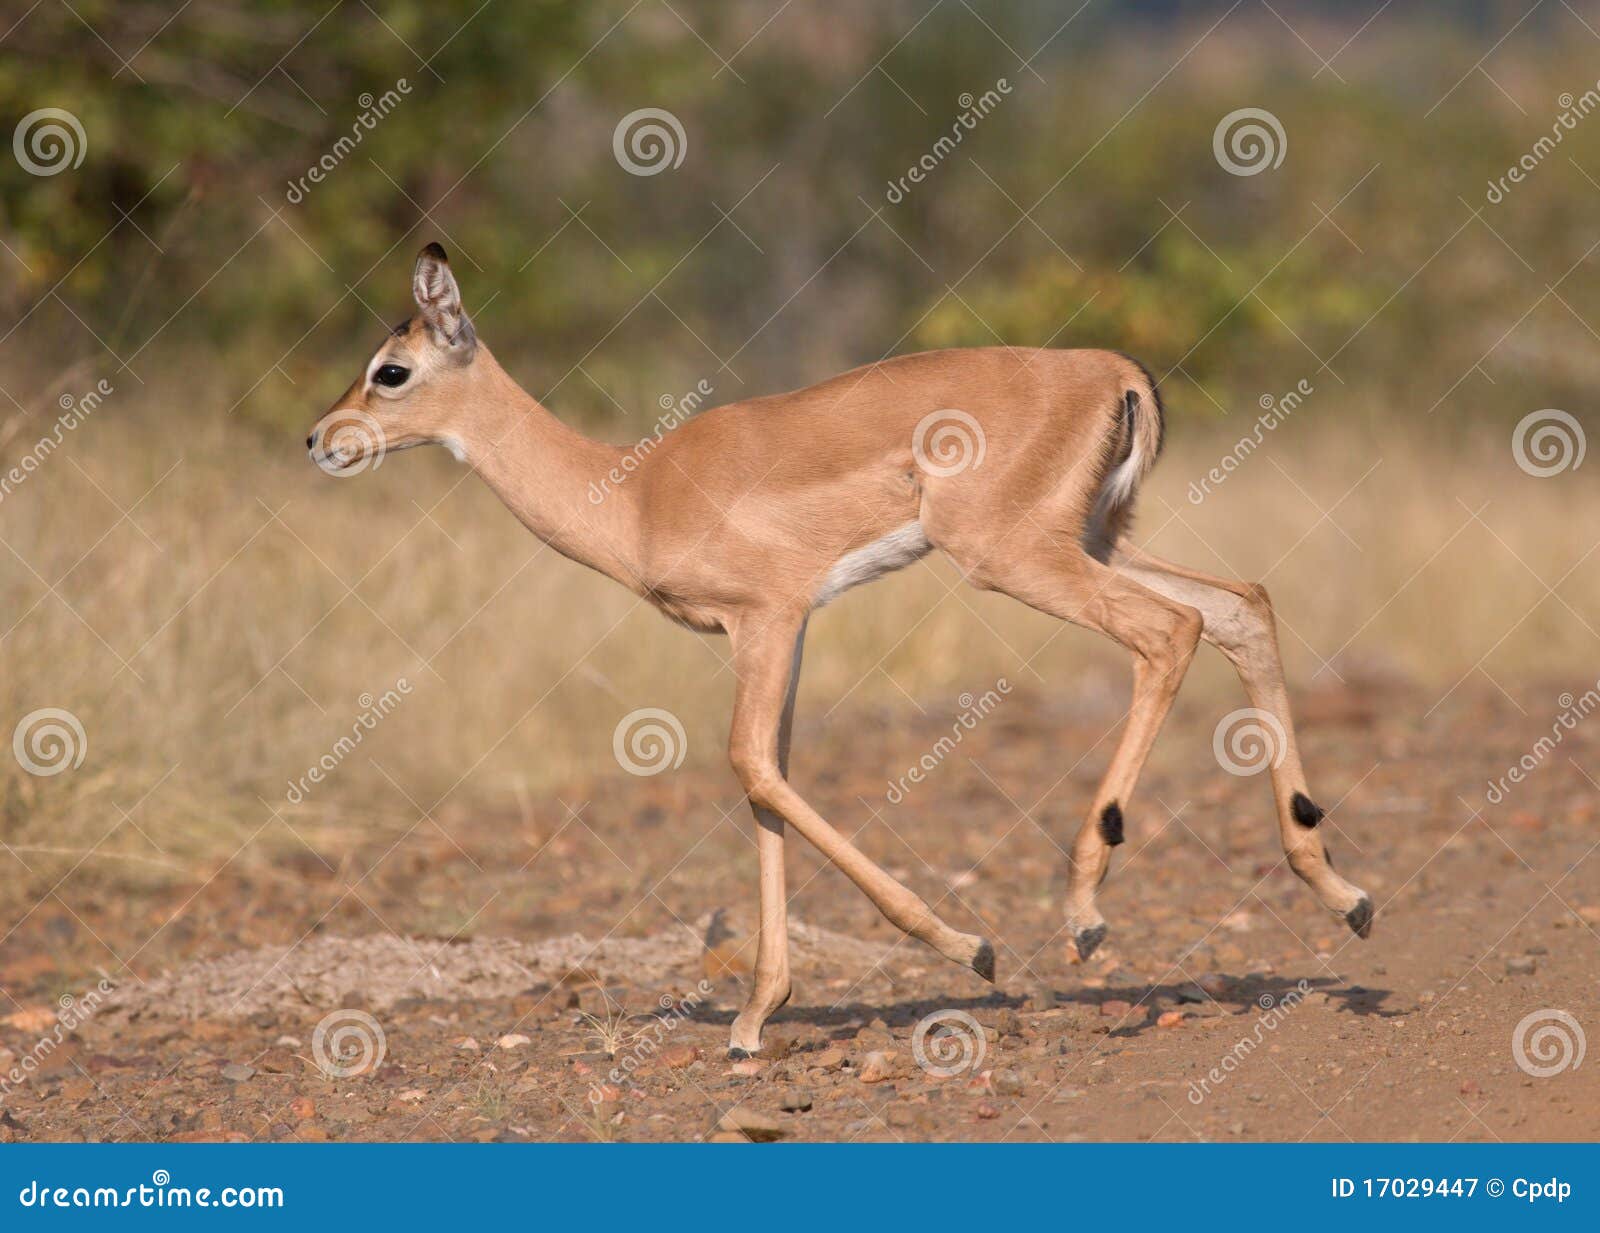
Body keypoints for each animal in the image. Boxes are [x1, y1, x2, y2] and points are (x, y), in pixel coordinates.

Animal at [307, 244, 1373, 1057]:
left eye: (391, 369)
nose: (320, 438)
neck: (635, 492)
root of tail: (1112, 370)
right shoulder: (782, 630)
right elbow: (768, 776)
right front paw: (753, 1020)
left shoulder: (770, 617)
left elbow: (749, 764)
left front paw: (969, 947)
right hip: (1098, 539)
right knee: (1241, 605)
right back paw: (1343, 893)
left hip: (1015, 558)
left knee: (1171, 630)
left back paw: (1082, 911)